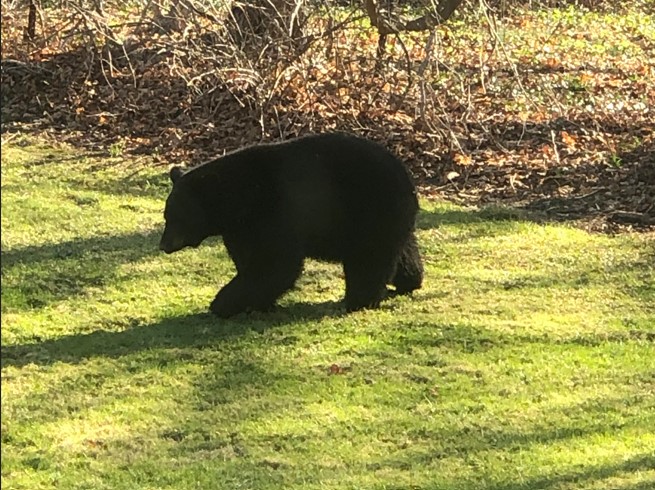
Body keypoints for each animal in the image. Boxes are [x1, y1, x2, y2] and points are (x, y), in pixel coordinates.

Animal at [159, 132, 423, 318]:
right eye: (167, 216)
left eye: (174, 217)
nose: (163, 245)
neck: (241, 198)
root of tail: (408, 180)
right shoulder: (240, 228)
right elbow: (252, 260)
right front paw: (255, 303)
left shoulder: (274, 212)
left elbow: (277, 263)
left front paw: (222, 303)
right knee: (401, 252)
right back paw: (410, 280)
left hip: (369, 210)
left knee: (368, 258)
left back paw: (359, 300)